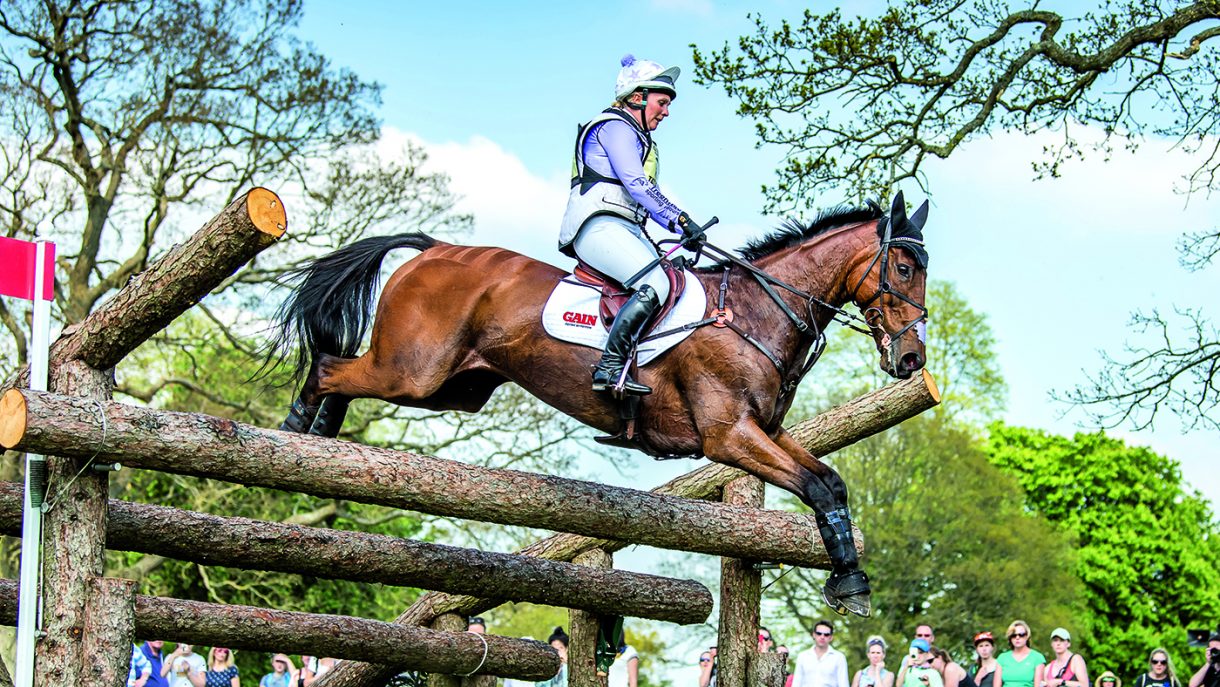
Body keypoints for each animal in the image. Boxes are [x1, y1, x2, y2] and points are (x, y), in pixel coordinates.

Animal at [265, 193, 929, 617]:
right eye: (902, 268)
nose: (911, 360)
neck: (756, 310)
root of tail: (435, 248)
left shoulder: (765, 430)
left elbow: (831, 484)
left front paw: (850, 579)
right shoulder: (729, 436)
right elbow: (815, 487)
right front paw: (851, 584)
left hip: (455, 386)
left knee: (343, 375)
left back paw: (317, 438)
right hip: (412, 371)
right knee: (329, 367)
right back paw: (299, 431)